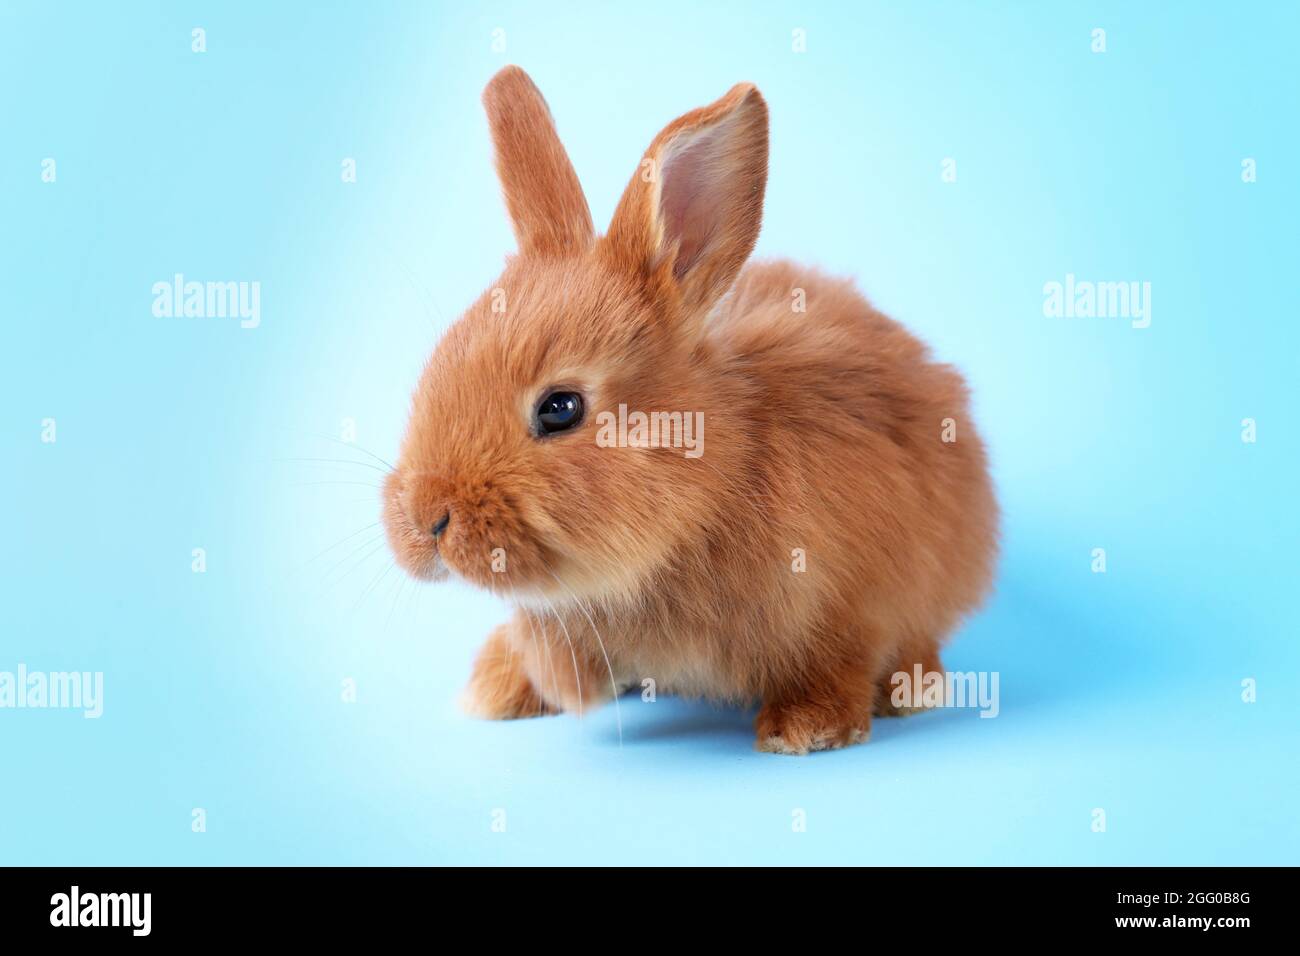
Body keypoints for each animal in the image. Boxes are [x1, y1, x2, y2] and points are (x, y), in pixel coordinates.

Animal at [382, 65, 999, 754]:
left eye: (560, 408)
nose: (426, 518)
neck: (708, 487)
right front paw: (542, 681)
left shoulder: (852, 602)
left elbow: (838, 659)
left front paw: (808, 730)